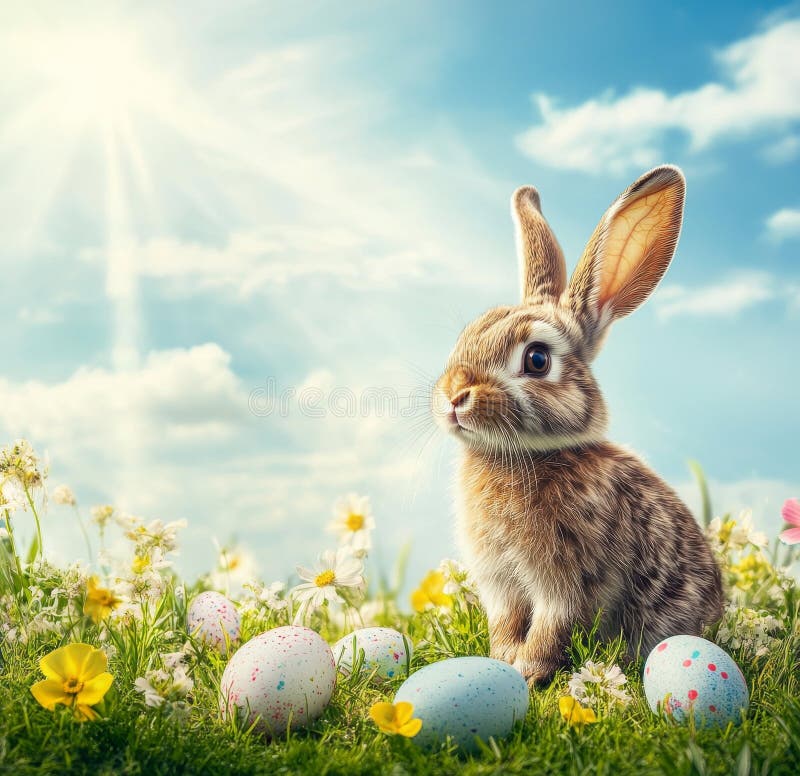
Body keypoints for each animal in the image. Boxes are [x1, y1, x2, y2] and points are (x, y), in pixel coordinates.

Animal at [432, 165, 723, 686]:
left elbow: (552, 627)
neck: (523, 454)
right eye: (468, 334)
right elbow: (506, 624)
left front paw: (527, 674)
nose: (453, 395)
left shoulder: (571, 583)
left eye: (537, 359)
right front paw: (500, 662)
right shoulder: (501, 585)